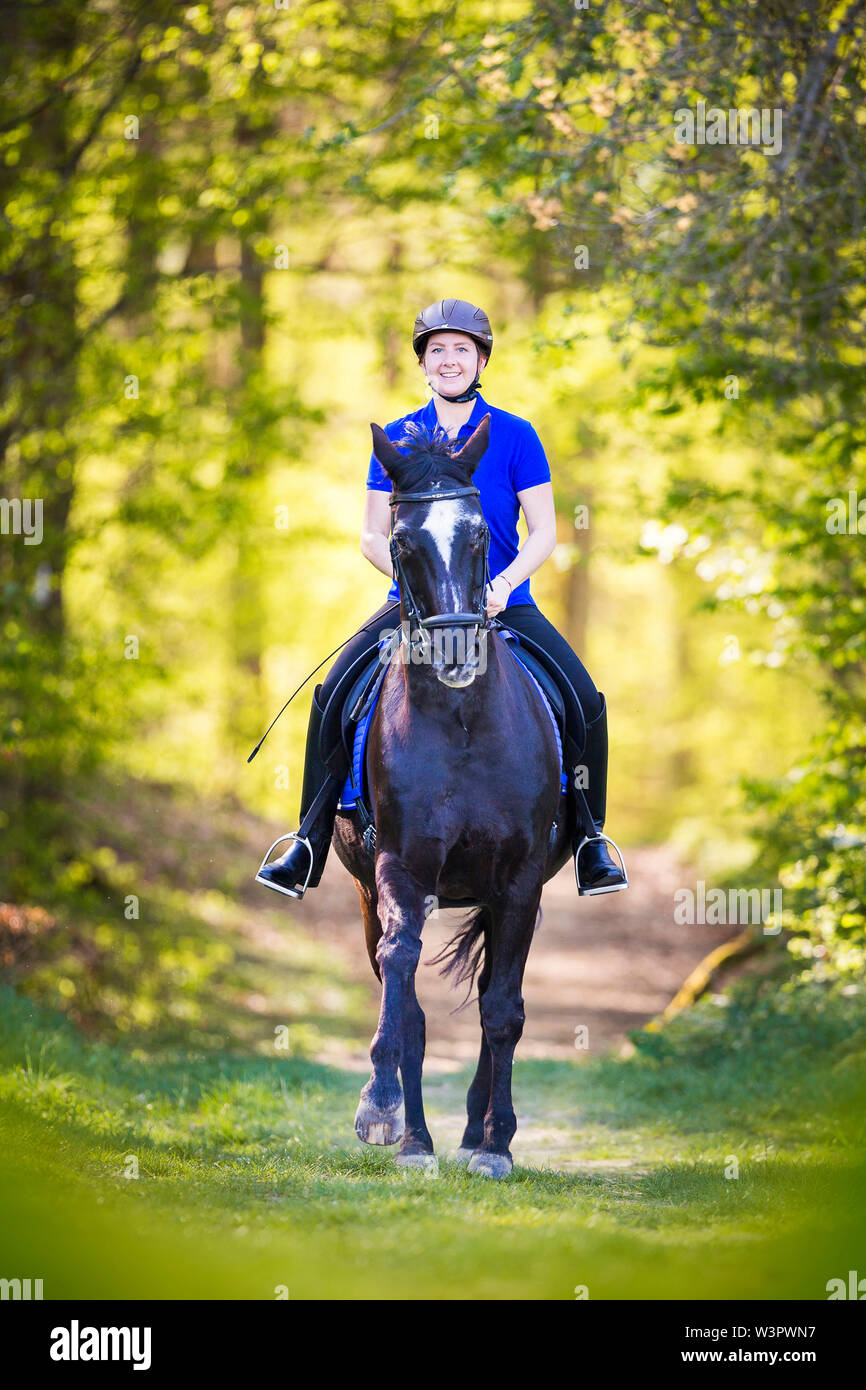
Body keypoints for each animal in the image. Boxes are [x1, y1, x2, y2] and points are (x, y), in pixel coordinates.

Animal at [332, 414, 575, 1178]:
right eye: (403, 541)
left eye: (476, 535)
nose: (458, 653)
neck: (465, 722)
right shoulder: (400, 869)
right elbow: (405, 989)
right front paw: (386, 1116)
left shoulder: (520, 881)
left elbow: (503, 1010)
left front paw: (495, 1145)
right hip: (368, 892)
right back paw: (422, 1138)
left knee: (499, 997)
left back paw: (476, 1133)